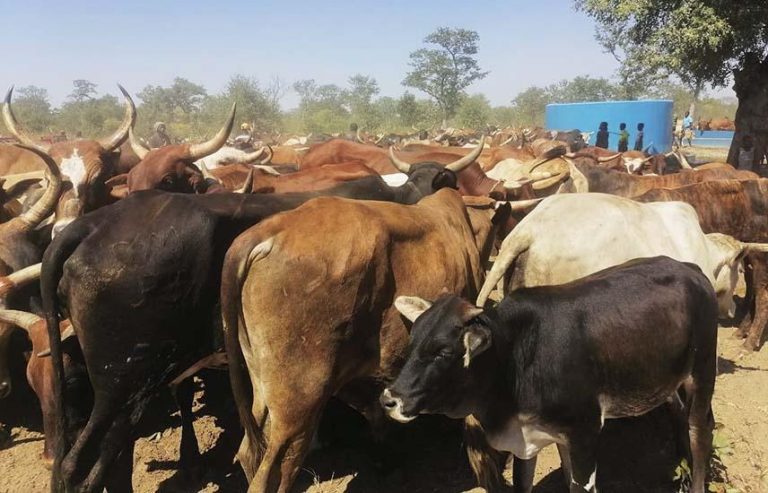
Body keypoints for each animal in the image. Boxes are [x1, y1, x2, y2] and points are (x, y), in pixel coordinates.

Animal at [383, 256, 718, 493]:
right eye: (412, 343)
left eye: (443, 352)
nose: (389, 399)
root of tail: (689, 268)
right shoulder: (531, 441)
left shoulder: (584, 432)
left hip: (702, 371)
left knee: (700, 431)